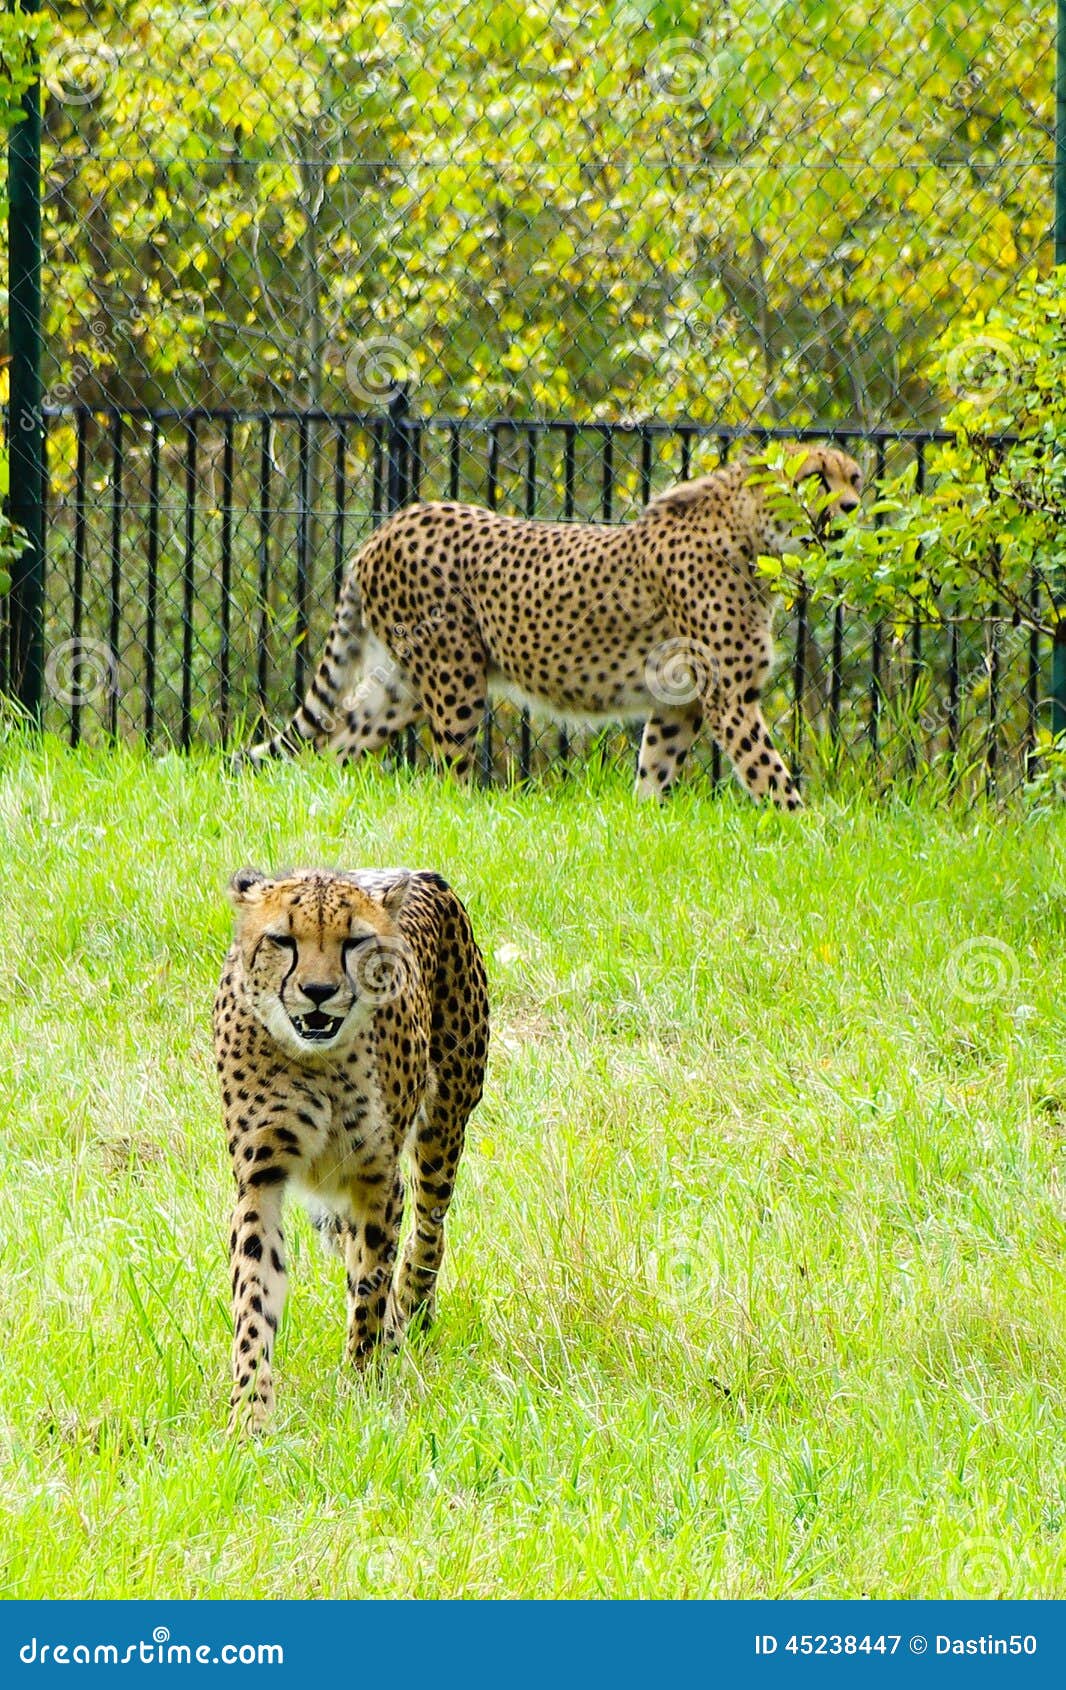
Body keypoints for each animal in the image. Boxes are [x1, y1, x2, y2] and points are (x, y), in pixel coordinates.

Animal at [214, 864, 489, 1432]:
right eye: (282, 939)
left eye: (355, 941)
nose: (318, 991)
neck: (314, 1059)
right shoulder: (258, 1181)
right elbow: (254, 1299)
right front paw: (249, 1416)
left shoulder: (376, 1180)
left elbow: (369, 1287)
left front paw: (361, 1385)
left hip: (443, 1130)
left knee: (427, 1233)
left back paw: (410, 1311)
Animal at [248, 444, 862, 809]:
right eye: (816, 478)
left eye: (855, 478)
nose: (854, 507)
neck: (753, 535)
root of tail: (389, 524)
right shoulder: (728, 697)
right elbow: (770, 775)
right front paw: (808, 837)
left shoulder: (680, 702)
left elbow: (655, 771)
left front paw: (643, 826)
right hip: (454, 679)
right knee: (448, 773)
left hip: (405, 686)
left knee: (340, 744)